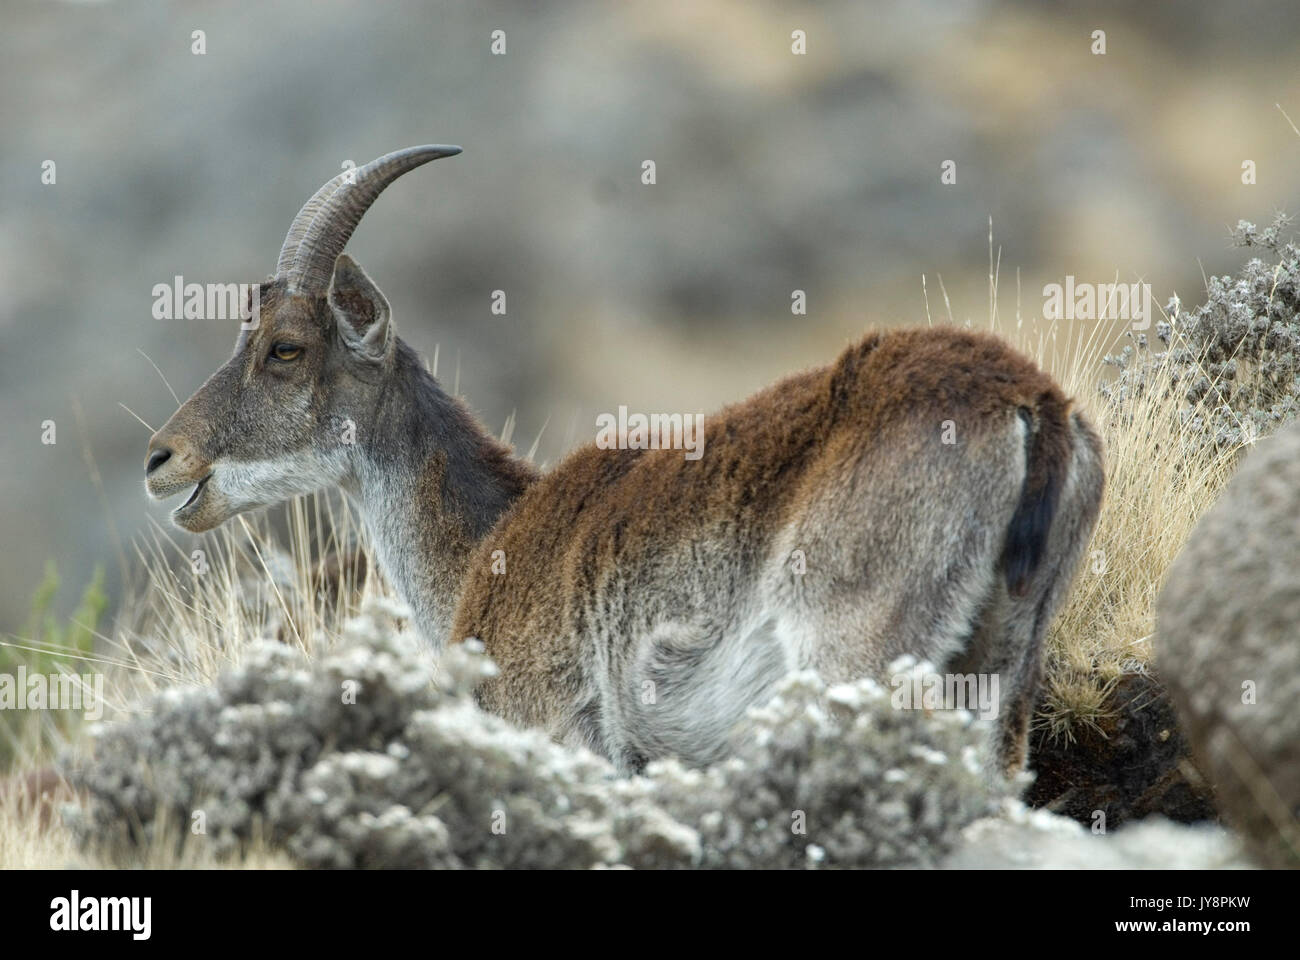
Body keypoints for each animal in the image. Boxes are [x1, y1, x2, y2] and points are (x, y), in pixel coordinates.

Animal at [145, 145, 1104, 777]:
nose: (163, 459)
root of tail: (1032, 409)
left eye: (285, 348)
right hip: (1004, 664)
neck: (483, 551)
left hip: (862, 645)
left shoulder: (554, 730)